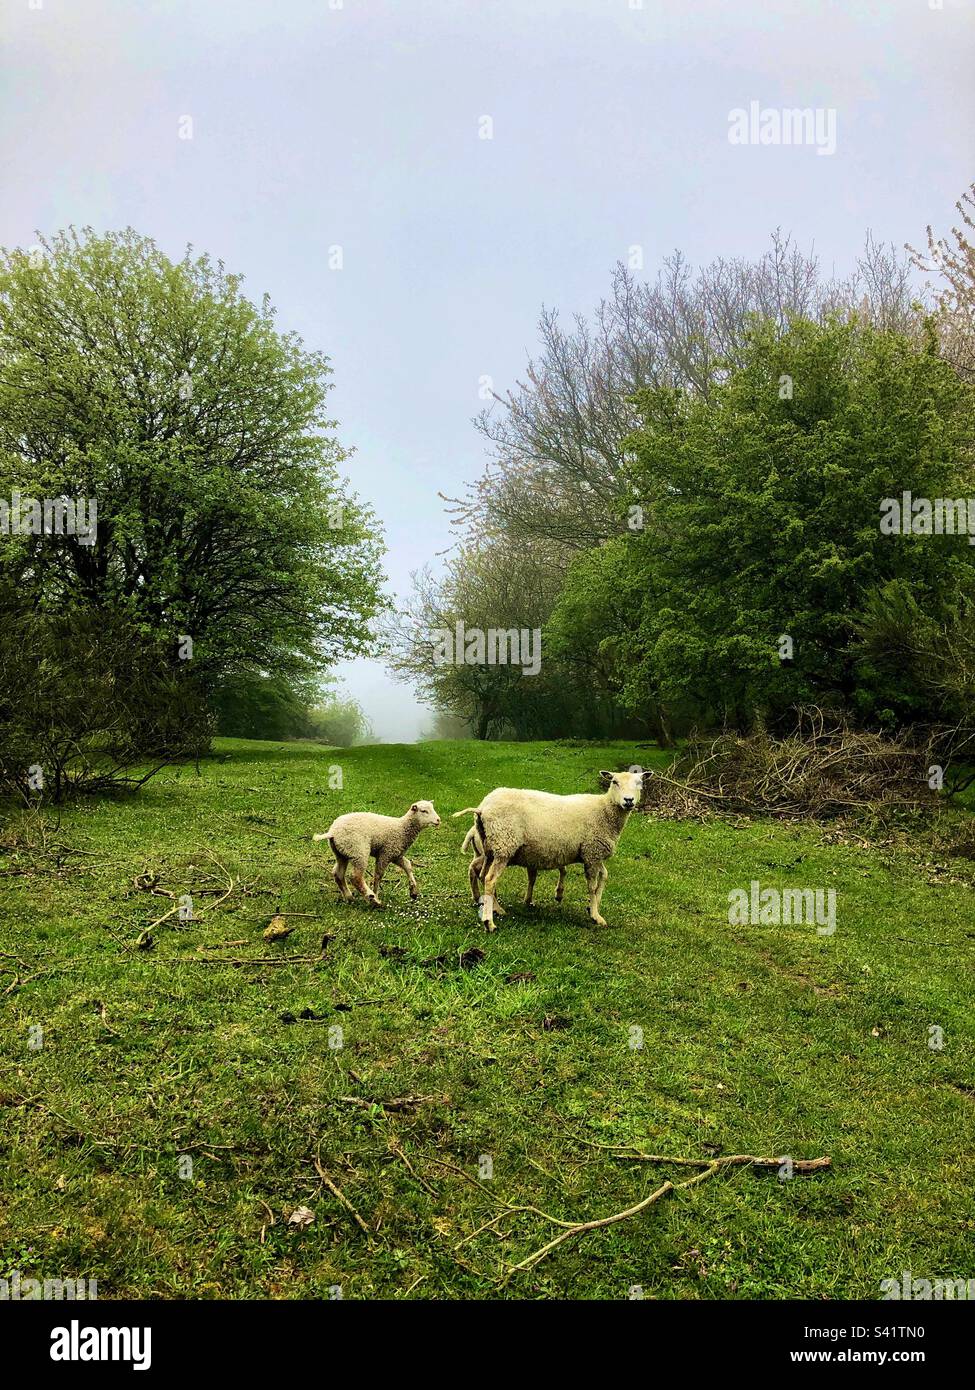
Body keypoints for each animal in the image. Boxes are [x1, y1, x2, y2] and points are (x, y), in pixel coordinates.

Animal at [453, 769, 644, 931]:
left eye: (640, 783)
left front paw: (593, 906)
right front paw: (596, 915)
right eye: (614, 782)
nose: (628, 800)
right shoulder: (592, 852)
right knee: (490, 879)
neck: (605, 810)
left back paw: (493, 907)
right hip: (504, 845)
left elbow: (604, 876)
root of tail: (482, 808)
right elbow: (592, 886)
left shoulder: (593, 855)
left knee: (482, 875)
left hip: (491, 849)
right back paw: (489, 922)